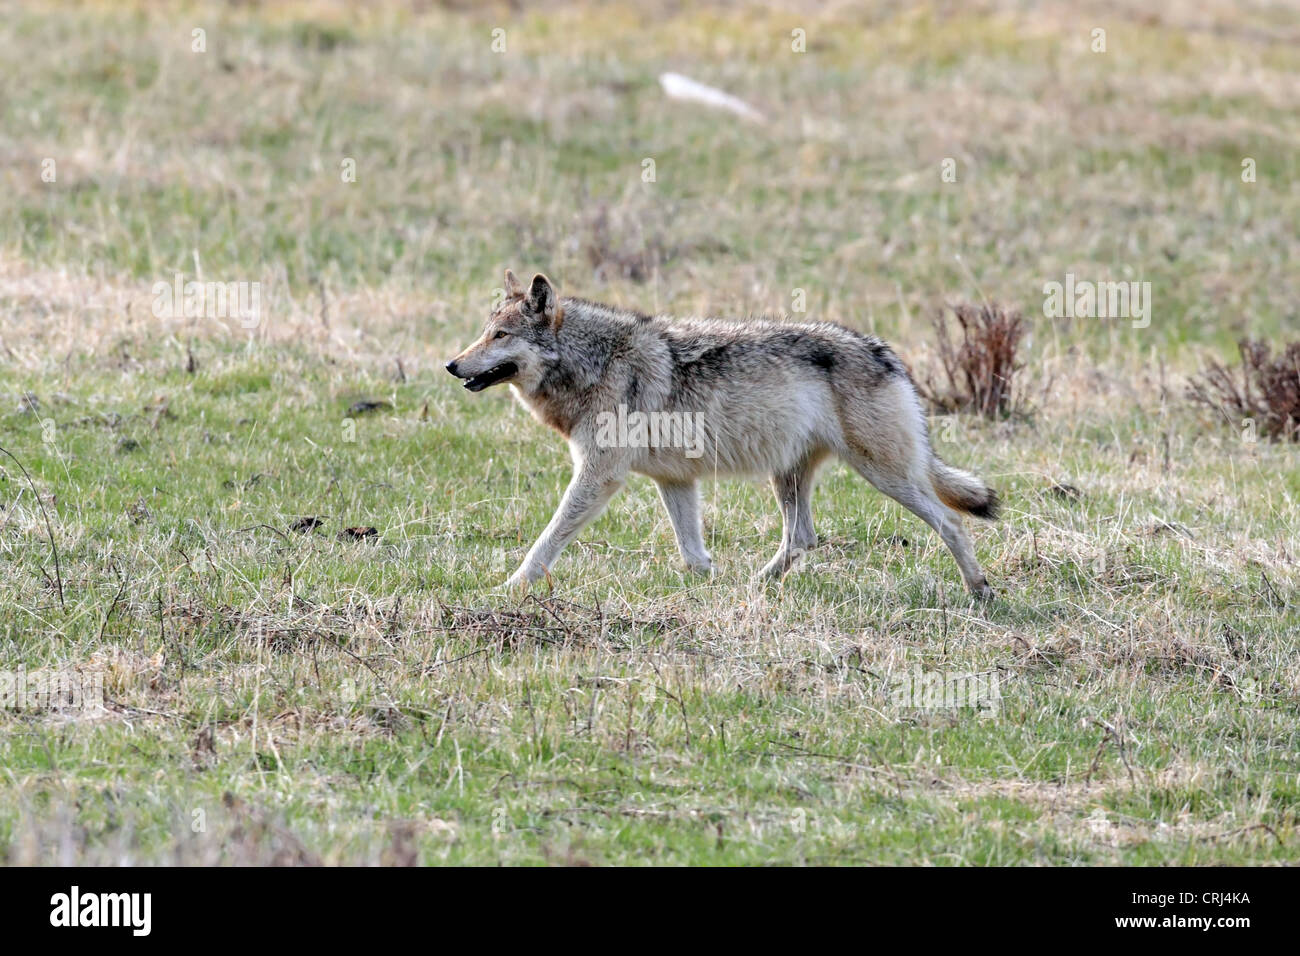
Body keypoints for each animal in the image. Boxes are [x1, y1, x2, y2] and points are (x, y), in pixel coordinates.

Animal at [446, 271, 1001, 597]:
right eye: (483, 332)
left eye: (500, 336)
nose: (451, 365)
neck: (596, 362)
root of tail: (887, 353)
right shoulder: (674, 480)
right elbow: (694, 555)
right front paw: (708, 589)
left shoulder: (600, 476)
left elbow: (546, 541)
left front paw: (509, 587)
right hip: (789, 478)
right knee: (803, 538)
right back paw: (755, 585)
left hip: (882, 474)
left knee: (951, 522)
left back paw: (980, 591)